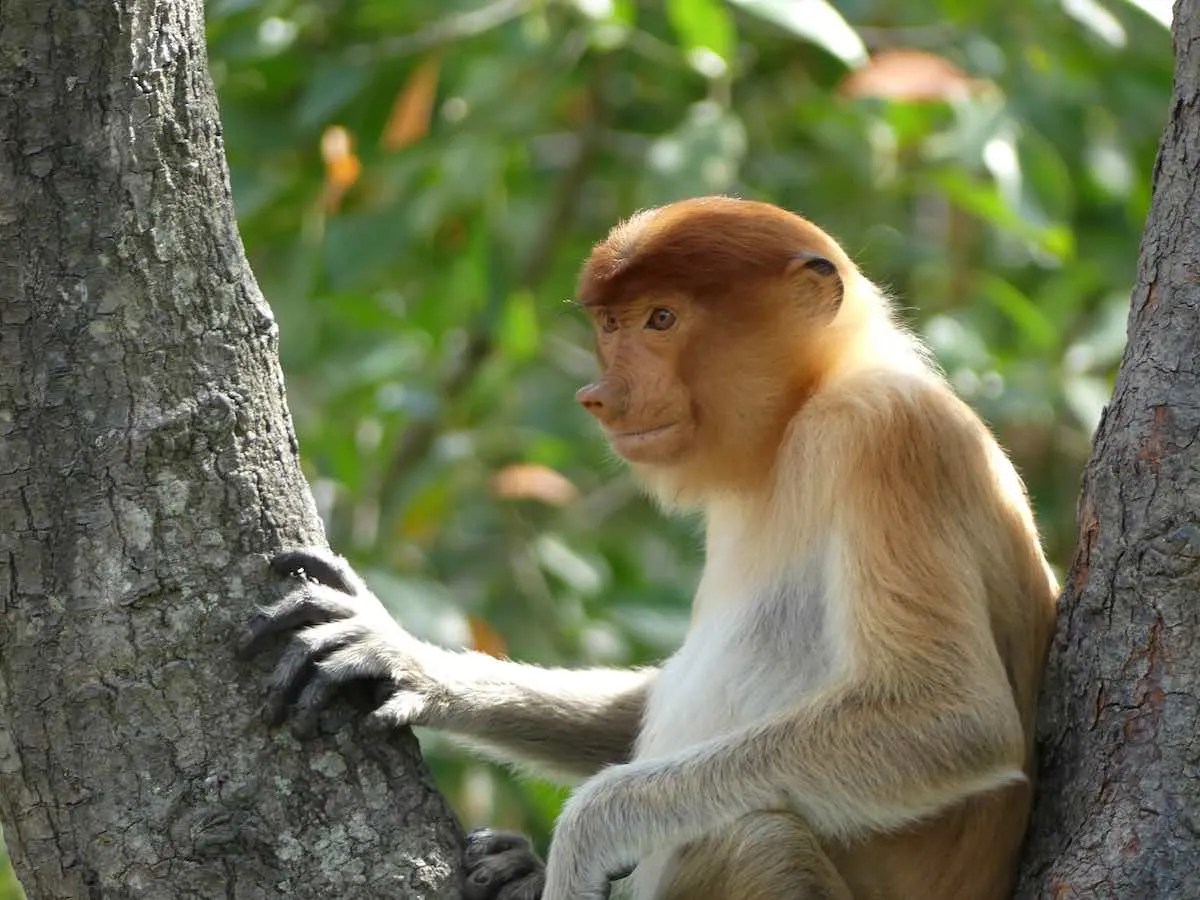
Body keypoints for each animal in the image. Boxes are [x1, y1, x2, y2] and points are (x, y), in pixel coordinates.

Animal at [241, 196, 1058, 900]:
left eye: (662, 319)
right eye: (610, 323)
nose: (600, 395)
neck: (802, 413)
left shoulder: (886, 434)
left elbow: (952, 715)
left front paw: (580, 844)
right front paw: (399, 657)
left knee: (751, 841)